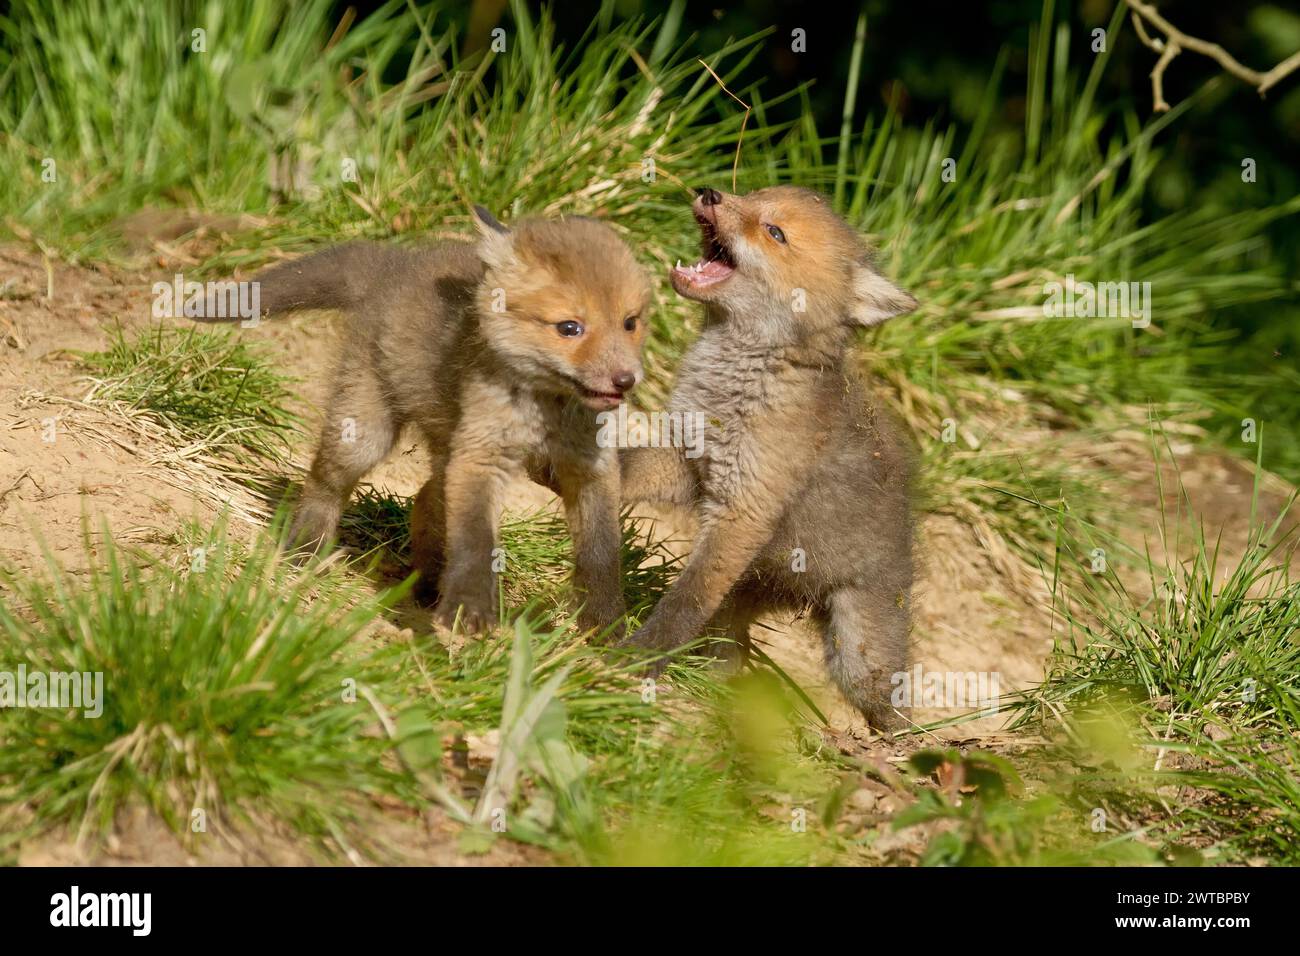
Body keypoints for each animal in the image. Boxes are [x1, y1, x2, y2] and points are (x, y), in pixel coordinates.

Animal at [192, 208, 651, 635]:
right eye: (569, 327)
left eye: (630, 323)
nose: (626, 380)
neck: (548, 413)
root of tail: (398, 264)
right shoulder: (481, 459)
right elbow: (475, 540)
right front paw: (470, 605)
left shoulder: (589, 468)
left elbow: (601, 554)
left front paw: (607, 626)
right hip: (364, 433)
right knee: (327, 482)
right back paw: (307, 546)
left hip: (446, 453)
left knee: (424, 500)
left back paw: (428, 582)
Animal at [618, 185, 918, 730]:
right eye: (752, 196)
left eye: (774, 232)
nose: (710, 192)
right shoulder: (687, 461)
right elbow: (627, 467)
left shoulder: (743, 511)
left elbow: (684, 601)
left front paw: (638, 658)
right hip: (745, 595)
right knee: (729, 651)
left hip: (858, 658)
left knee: (893, 708)